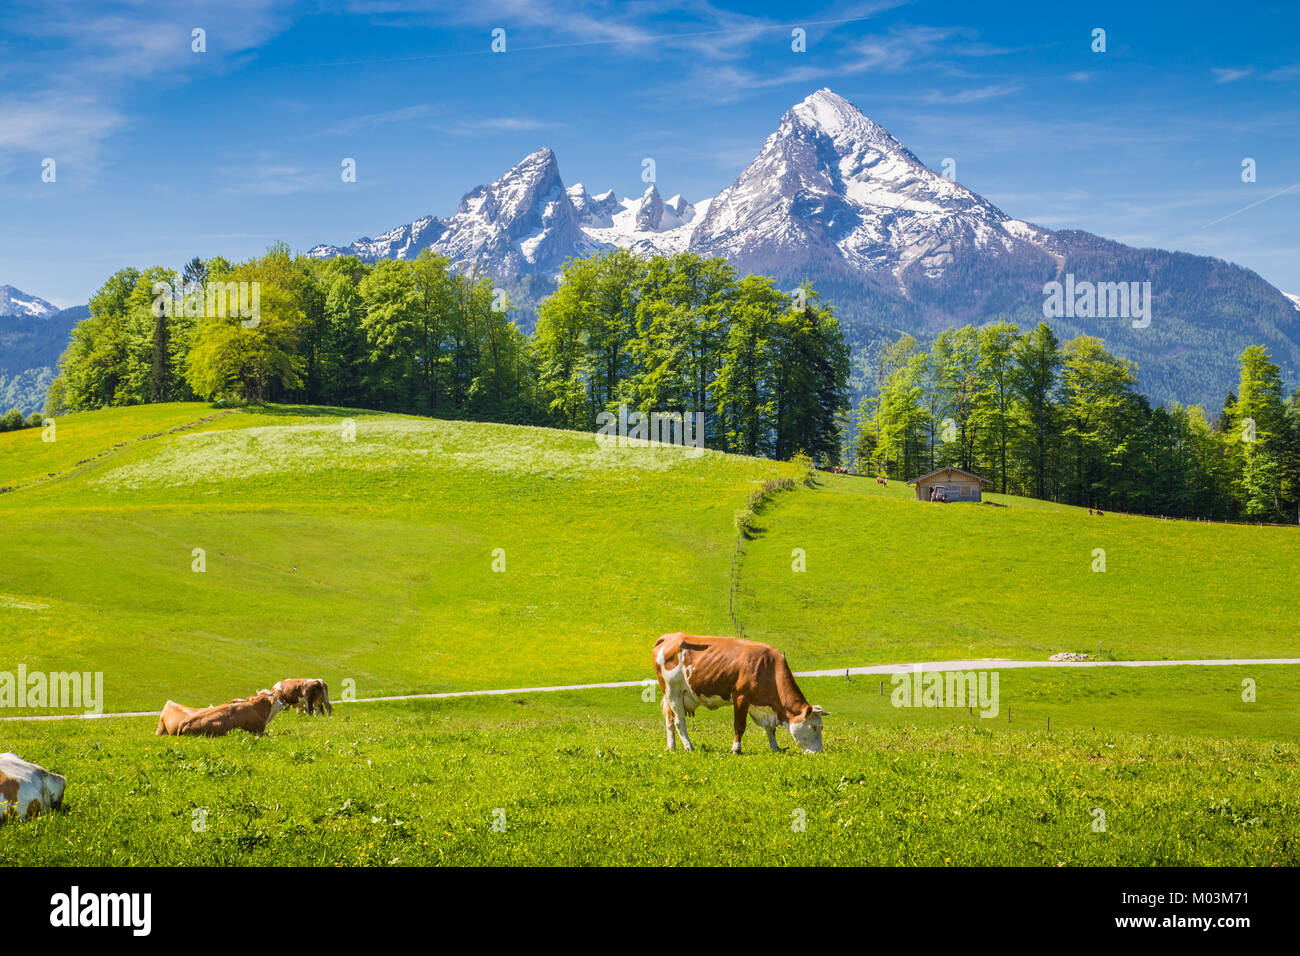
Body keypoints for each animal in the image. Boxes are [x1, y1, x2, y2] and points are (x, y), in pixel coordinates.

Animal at [652, 633, 824, 755]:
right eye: (815, 727)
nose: (819, 752)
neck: (769, 669)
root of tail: (670, 636)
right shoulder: (741, 698)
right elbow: (739, 726)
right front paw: (736, 749)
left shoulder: (763, 705)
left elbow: (770, 728)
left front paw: (775, 747)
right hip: (673, 692)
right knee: (679, 721)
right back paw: (689, 746)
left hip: (670, 696)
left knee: (669, 720)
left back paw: (672, 747)